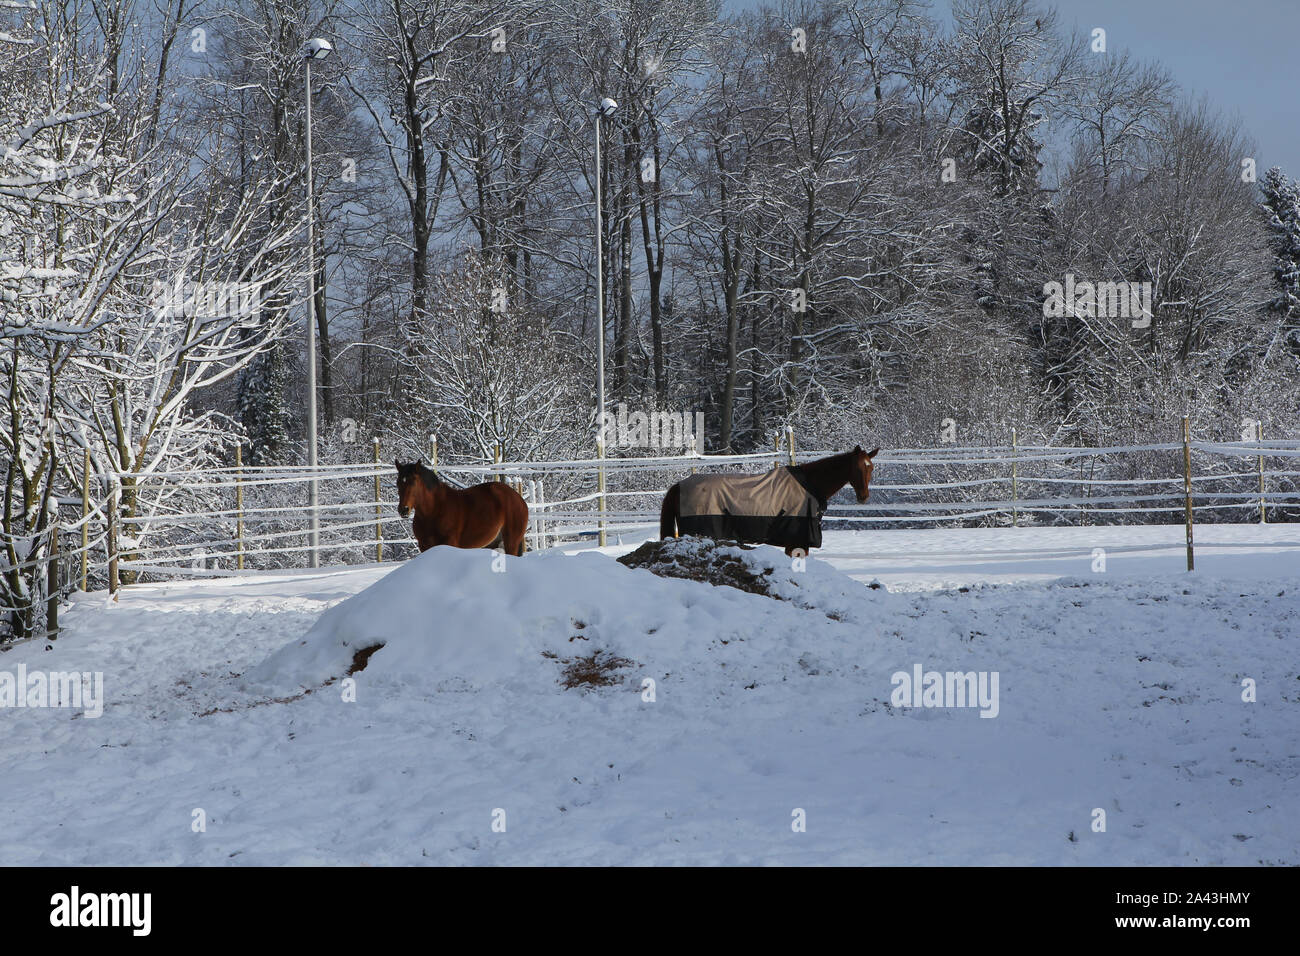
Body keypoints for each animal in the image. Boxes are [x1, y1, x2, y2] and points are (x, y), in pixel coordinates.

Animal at [395, 460, 529, 557]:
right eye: (398, 483)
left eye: (413, 482)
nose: (403, 509)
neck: (434, 510)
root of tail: (519, 498)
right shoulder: (424, 546)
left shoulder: (449, 543)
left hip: (511, 542)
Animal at [659, 445, 879, 556]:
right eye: (857, 467)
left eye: (871, 468)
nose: (863, 497)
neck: (809, 484)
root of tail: (679, 485)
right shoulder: (797, 542)